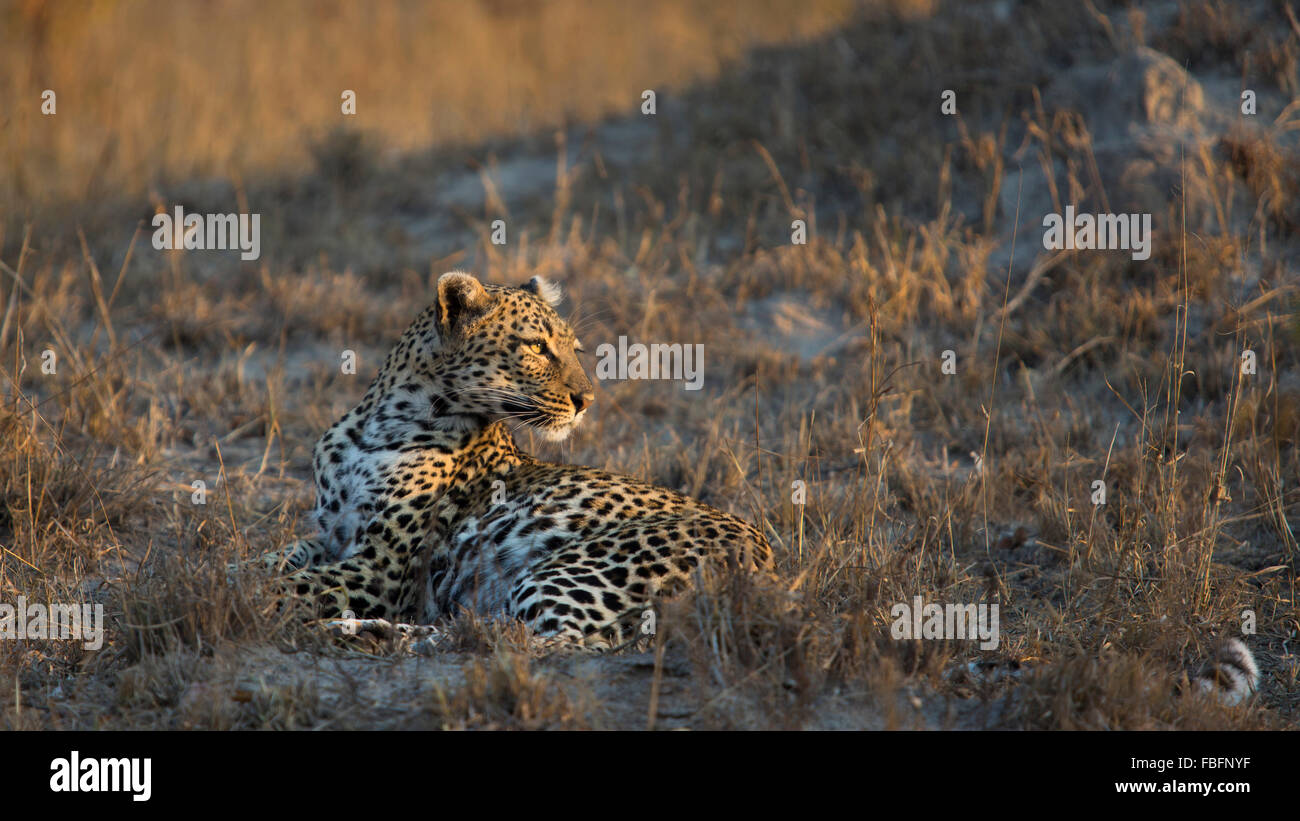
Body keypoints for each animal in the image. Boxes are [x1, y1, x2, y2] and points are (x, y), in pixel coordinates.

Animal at [267, 270, 773, 647]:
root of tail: (771, 565)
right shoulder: (333, 539)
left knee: (532, 641)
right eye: (536, 347)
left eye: (575, 350)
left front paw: (251, 595)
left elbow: (288, 584)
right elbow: (280, 557)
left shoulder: (380, 568)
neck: (380, 426)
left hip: (567, 570)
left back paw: (365, 632)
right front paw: (255, 567)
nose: (587, 400)